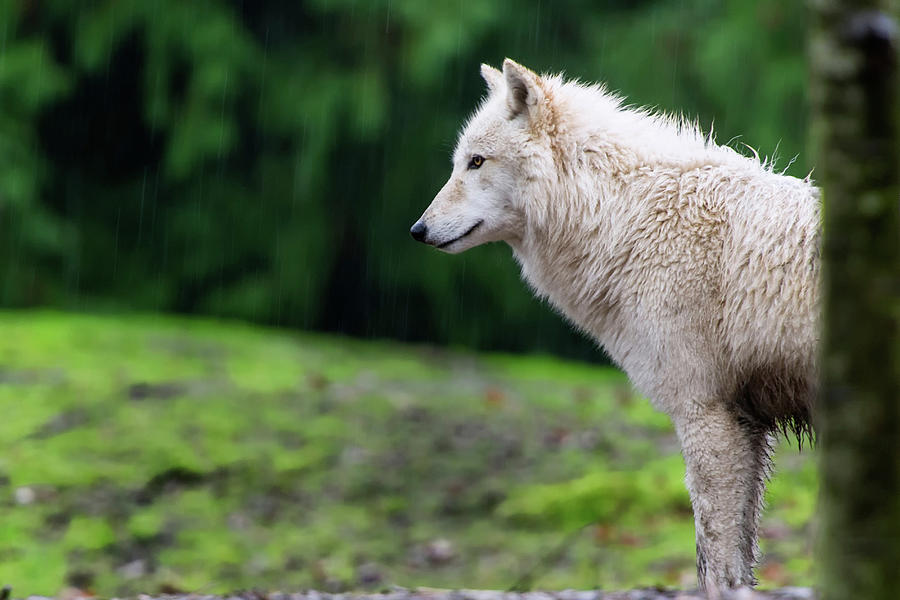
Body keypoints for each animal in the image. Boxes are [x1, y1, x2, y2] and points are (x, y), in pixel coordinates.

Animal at [410, 59, 820, 593]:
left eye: (476, 162)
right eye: (461, 162)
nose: (417, 230)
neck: (624, 218)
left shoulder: (706, 414)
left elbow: (714, 561)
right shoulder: (743, 421)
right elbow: (733, 563)